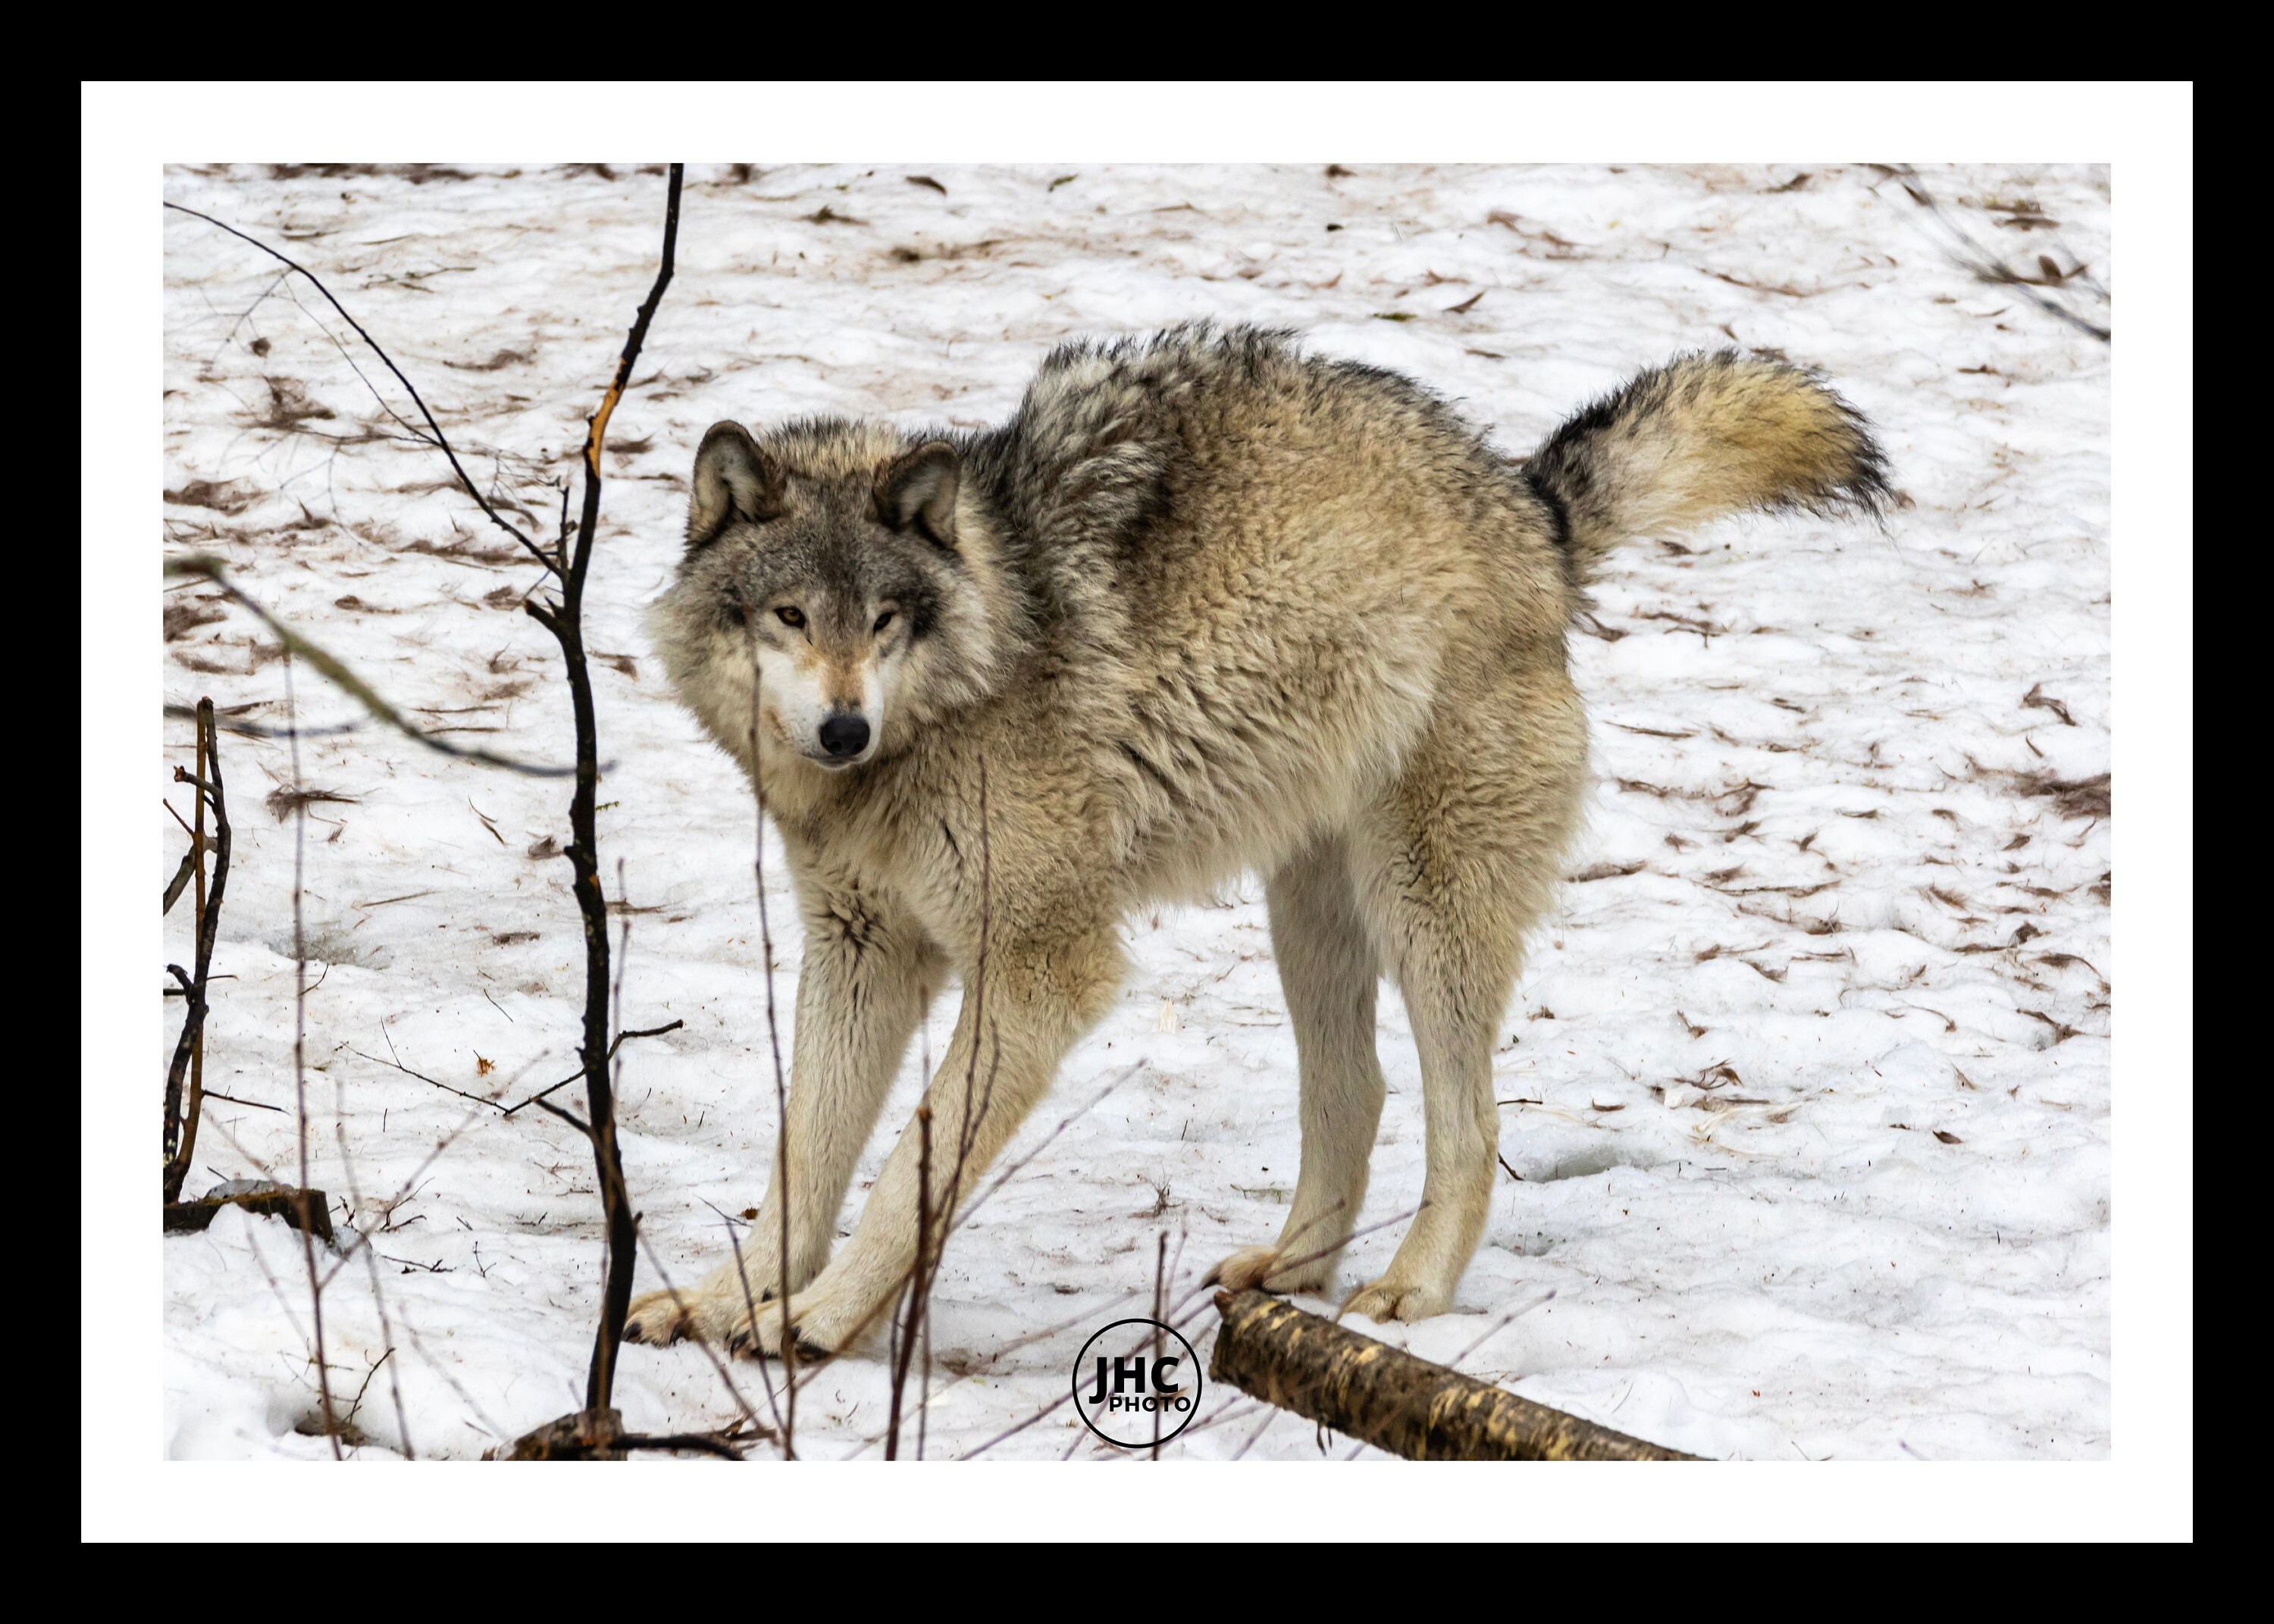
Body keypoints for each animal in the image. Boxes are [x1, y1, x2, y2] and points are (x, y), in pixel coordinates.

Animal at [628, 324, 1886, 1356]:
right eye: (791, 617)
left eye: (886, 621)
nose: (842, 727)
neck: (961, 686)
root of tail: (1529, 506)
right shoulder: (862, 953)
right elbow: (801, 1158)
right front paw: (723, 1298)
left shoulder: (1038, 969)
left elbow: (905, 1175)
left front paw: (818, 1316)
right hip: (1310, 916)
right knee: (1358, 1093)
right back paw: (1293, 1267)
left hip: (1421, 907)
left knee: (1470, 1124)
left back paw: (1408, 1291)